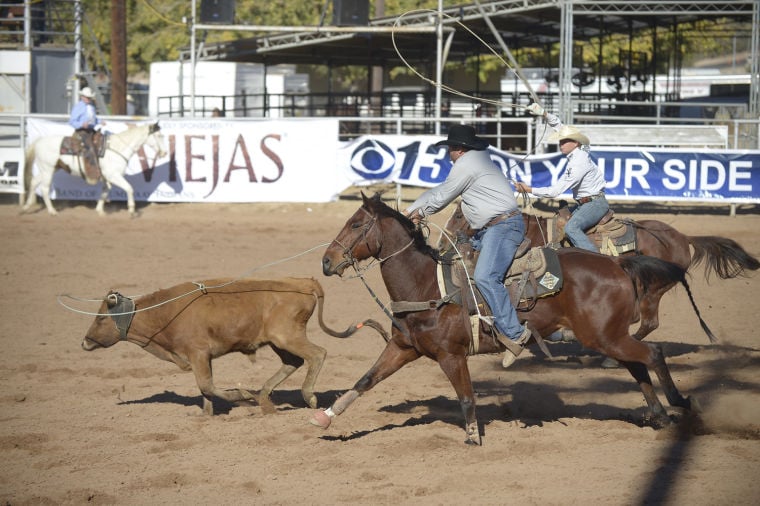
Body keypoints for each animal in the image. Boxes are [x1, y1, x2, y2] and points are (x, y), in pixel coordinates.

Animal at [82, 277, 388, 415]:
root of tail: (303, 282)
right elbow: (204, 389)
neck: (166, 312)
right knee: (293, 362)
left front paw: (242, 396)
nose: (84, 342)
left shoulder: (198, 353)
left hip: (287, 336)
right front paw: (207, 414)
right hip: (278, 341)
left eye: (100, 318)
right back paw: (265, 400)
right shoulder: (201, 358)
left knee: (317, 354)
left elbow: (208, 386)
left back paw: (306, 396)